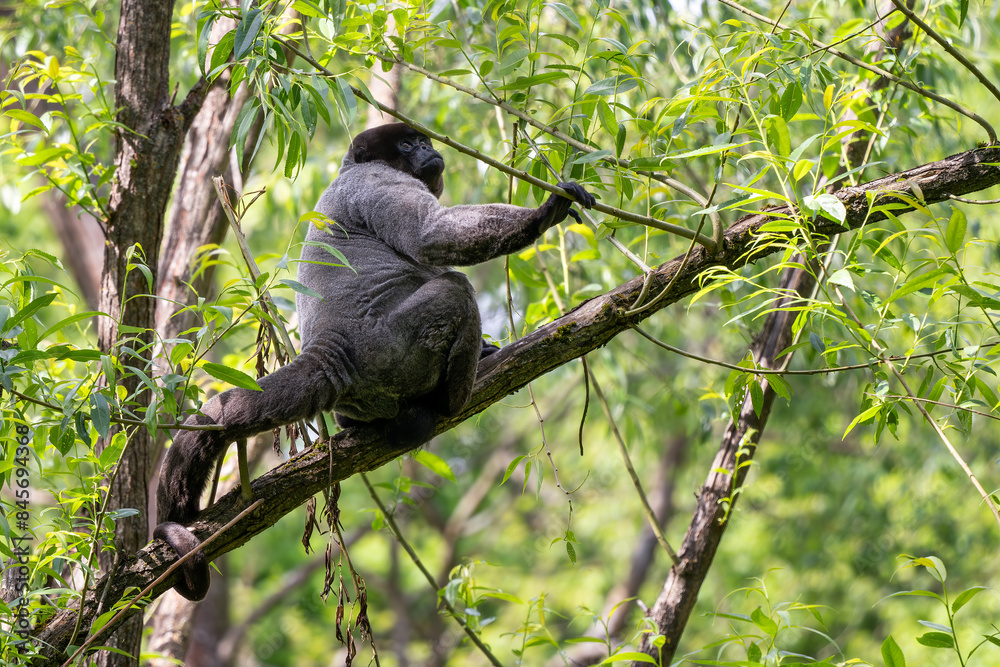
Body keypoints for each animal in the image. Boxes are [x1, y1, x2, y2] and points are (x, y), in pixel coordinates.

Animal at [154, 122, 596, 600]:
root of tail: (332, 353)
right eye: (405, 144)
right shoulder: (377, 181)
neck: (352, 168)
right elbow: (430, 236)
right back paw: (449, 400)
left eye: (422, 141)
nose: (426, 148)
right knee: (453, 288)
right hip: (392, 353)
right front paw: (546, 211)